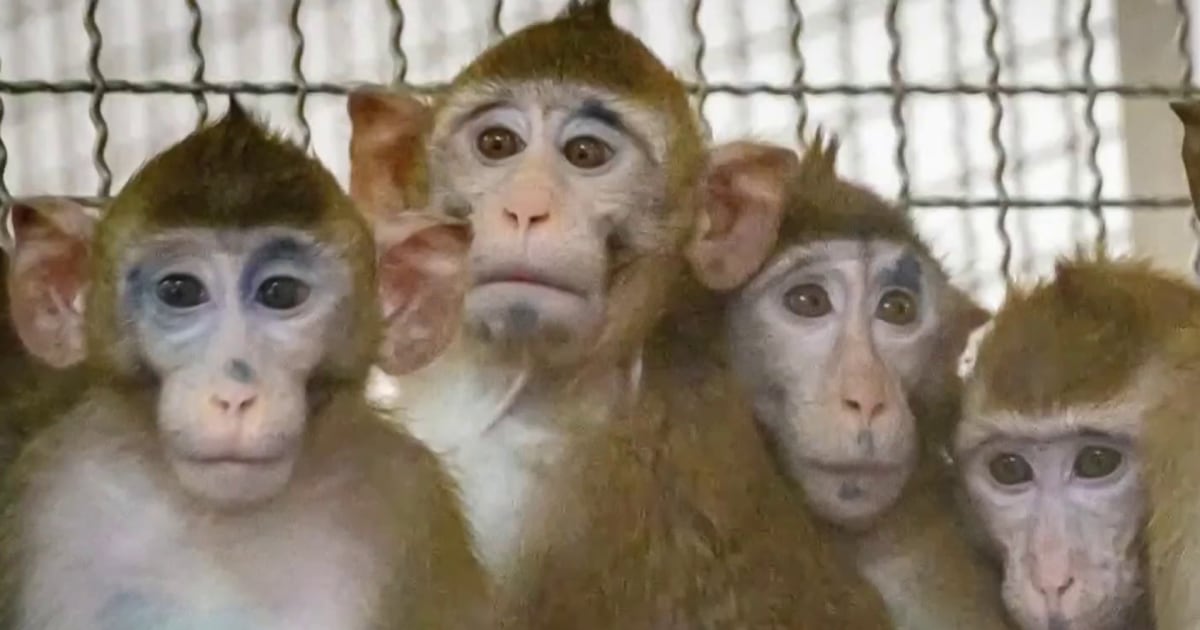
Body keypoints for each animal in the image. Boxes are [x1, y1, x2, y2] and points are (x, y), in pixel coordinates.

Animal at [0, 102, 487, 630]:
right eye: (180, 291)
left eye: (281, 293)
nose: (234, 395)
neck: (218, 521)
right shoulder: (56, 500)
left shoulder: (410, 502)